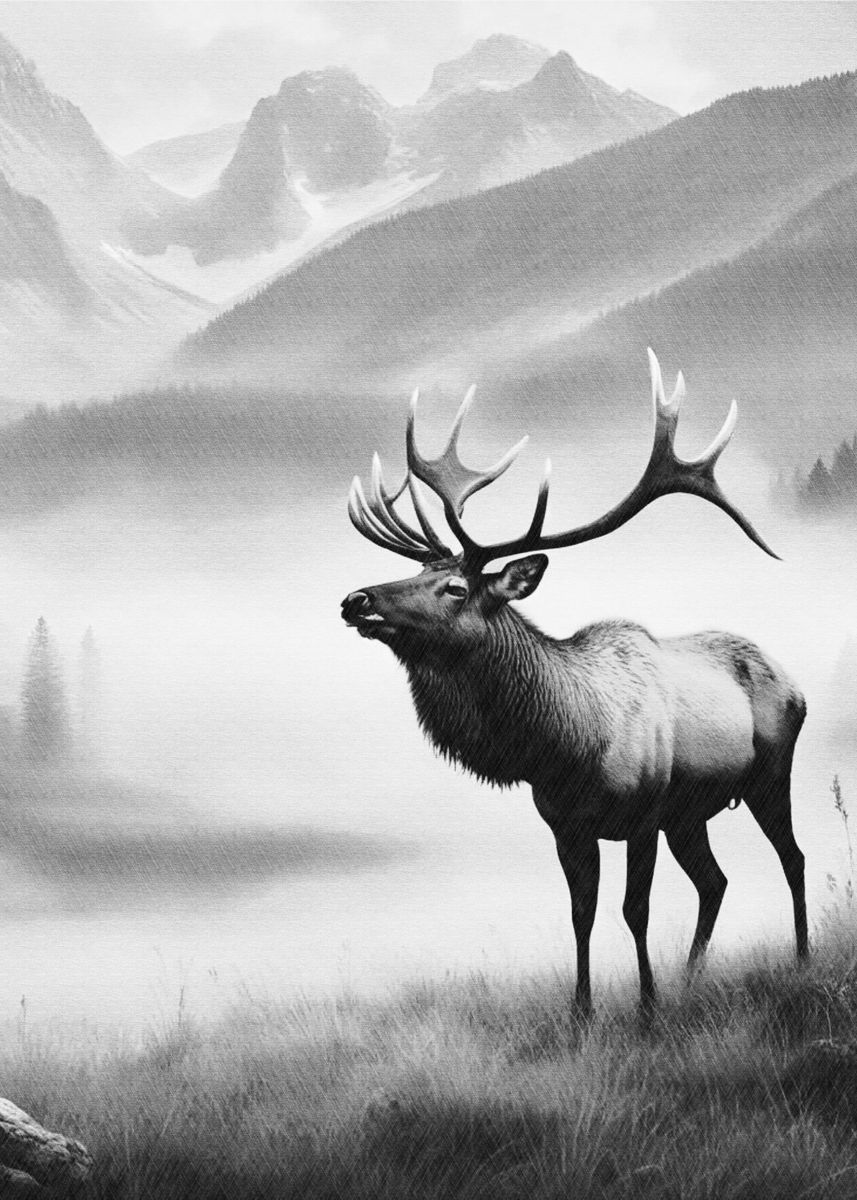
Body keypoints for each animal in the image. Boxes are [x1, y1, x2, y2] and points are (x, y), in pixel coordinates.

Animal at [341, 350, 807, 1016]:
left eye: (454, 587)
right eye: (417, 571)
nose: (357, 600)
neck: (568, 746)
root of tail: (794, 683)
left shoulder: (644, 813)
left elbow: (634, 911)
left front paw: (646, 1008)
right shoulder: (565, 824)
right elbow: (581, 914)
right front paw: (582, 1011)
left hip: (769, 774)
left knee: (791, 857)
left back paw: (800, 958)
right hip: (691, 814)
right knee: (715, 881)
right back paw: (692, 977)